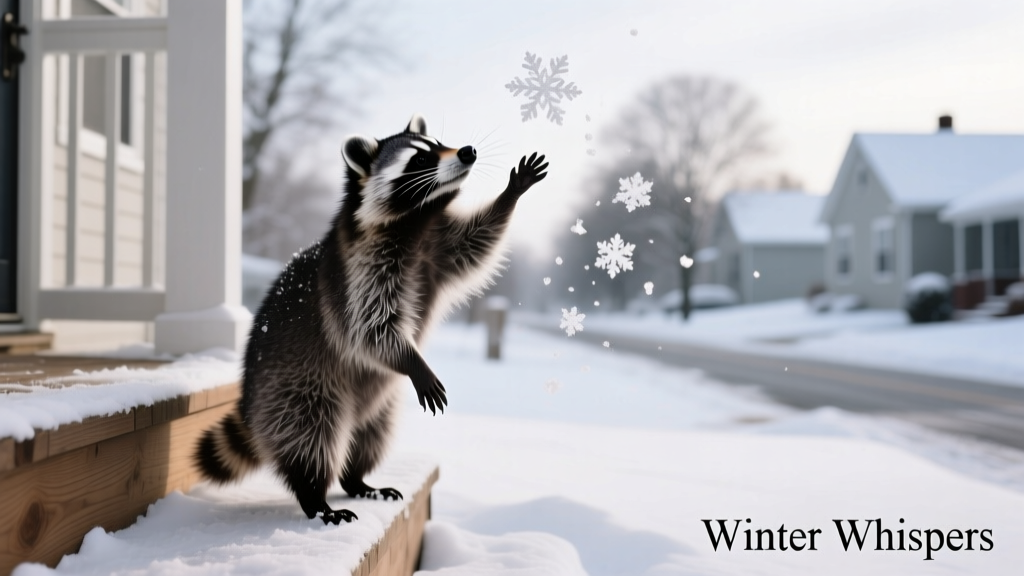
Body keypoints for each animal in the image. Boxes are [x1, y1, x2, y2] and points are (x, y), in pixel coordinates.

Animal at [195, 115, 548, 525]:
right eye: (419, 159)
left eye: (439, 143)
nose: (467, 152)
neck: (415, 219)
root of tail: (250, 401)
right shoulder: (360, 269)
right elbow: (370, 327)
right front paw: (414, 361)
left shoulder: (436, 248)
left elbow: (476, 244)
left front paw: (511, 193)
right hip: (296, 384)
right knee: (311, 432)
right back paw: (315, 497)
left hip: (381, 403)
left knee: (370, 435)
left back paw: (357, 479)